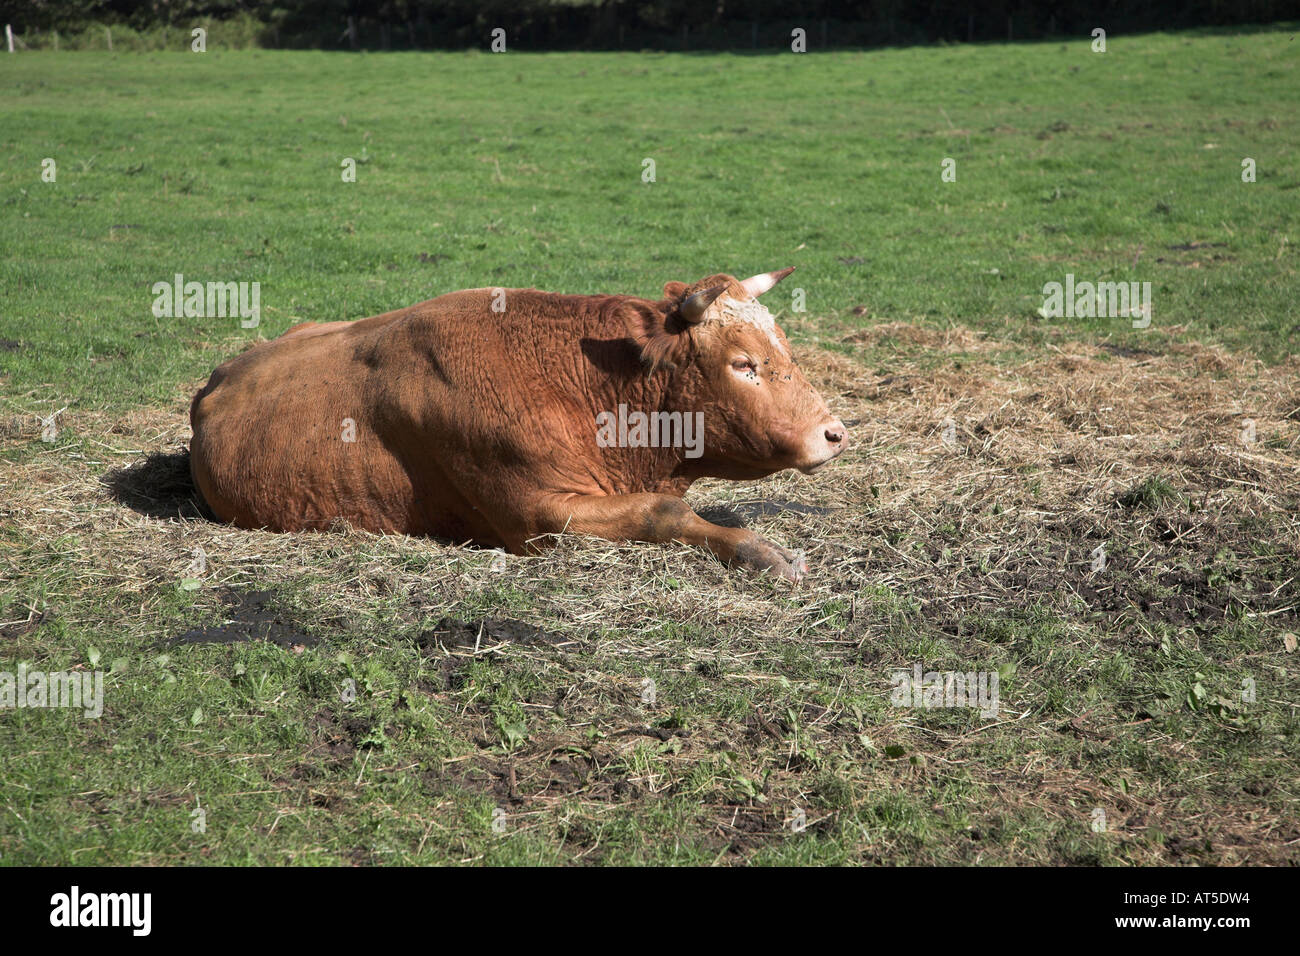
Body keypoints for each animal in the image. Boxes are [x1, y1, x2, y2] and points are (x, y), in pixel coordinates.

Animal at [188, 268, 847, 581]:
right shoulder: (534, 514)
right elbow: (661, 512)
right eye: (743, 363)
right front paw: (763, 552)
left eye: (784, 345)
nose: (834, 433)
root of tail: (217, 377)